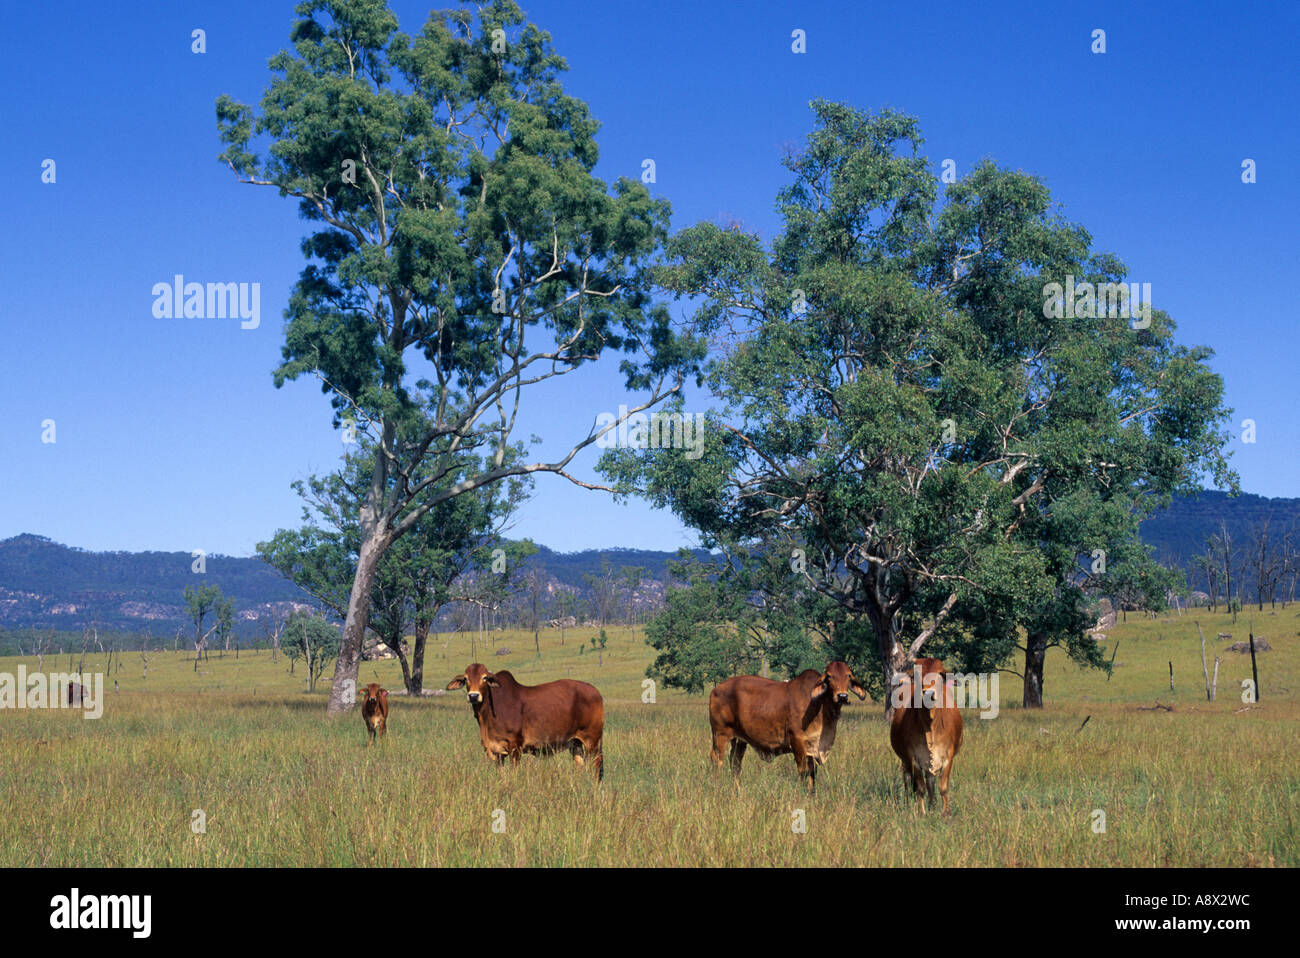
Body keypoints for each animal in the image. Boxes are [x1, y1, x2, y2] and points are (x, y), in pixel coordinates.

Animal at [446, 664, 604, 780]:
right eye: (466, 678)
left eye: (484, 677)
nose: (473, 696)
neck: (486, 716)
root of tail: (594, 690)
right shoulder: (496, 753)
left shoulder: (515, 746)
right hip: (575, 743)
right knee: (580, 764)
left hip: (592, 740)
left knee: (597, 763)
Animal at [708, 661, 867, 794]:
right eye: (829, 676)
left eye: (848, 675)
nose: (842, 696)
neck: (822, 707)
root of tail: (715, 689)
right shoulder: (797, 741)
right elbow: (803, 771)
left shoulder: (812, 747)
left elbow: (812, 774)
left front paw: (812, 794)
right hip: (720, 734)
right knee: (717, 760)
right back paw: (717, 787)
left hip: (740, 740)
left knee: (735, 763)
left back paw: (738, 789)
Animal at [890, 657, 963, 814]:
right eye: (917, 674)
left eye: (940, 673)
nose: (928, 693)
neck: (931, 726)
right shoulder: (914, 757)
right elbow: (920, 788)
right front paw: (921, 813)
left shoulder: (948, 755)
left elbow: (942, 787)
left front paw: (945, 812)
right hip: (905, 761)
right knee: (908, 780)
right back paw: (909, 804)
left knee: (930, 781)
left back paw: (933, 805)